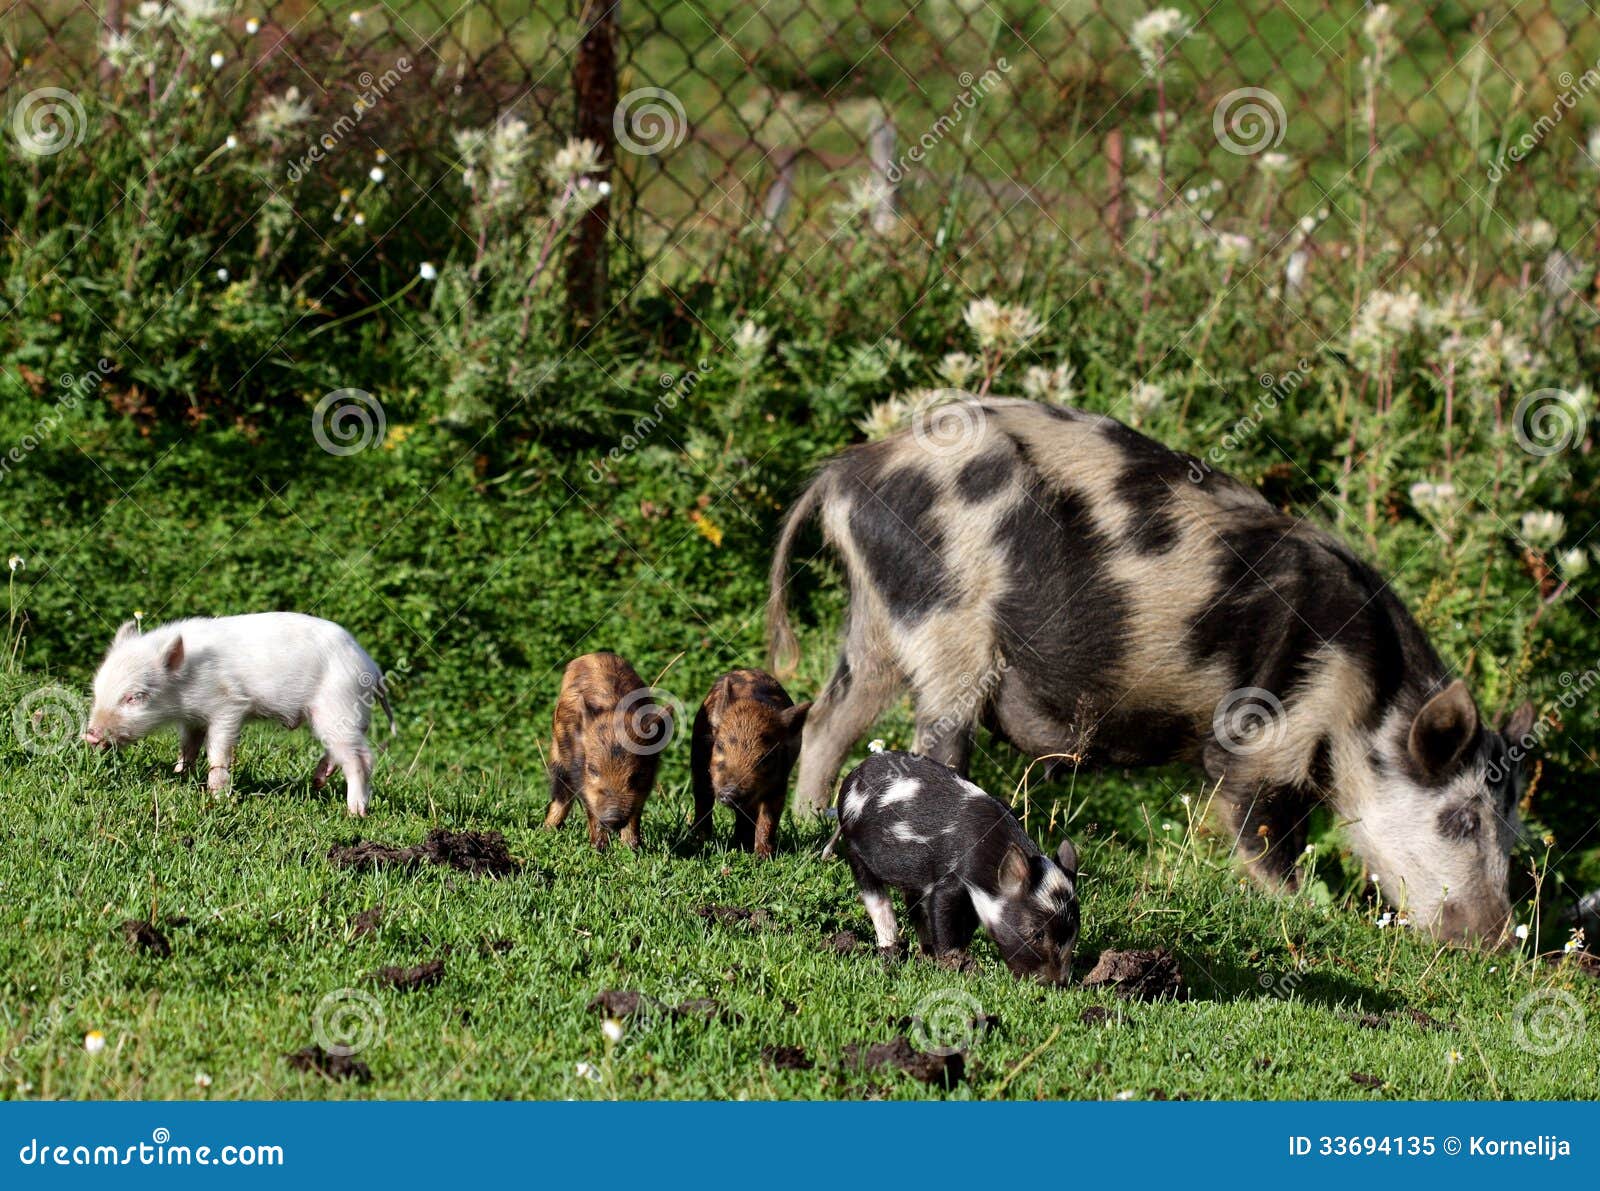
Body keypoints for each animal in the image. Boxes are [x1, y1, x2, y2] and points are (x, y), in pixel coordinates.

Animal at [84, 612, 395, 816]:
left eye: (135, 697)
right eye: (97, 690)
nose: (90, 735)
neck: (184, 684)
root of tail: (371, 667)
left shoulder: (228, 705)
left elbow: (218, 751)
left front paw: (218, 797)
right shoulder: (193, 718)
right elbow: (188, 747)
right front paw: (179, 775)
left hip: (337, 705)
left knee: (361, 758)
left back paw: (355, 812)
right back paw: (317, 783)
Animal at [544, 652, 671, 851]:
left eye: (636, 775)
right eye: (593, 769)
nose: (613, 818)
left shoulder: (646, 782)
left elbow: (635, 814)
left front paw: (633, 850)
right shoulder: (583, 779)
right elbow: (591, 810)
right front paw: (599, 850)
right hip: (558, 756)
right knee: (561, 794)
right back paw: (546, 831)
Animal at [689, 668, 810, 857]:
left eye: (767, 757)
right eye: (720, 746)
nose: (729, 792)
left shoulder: (779, 784)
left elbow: (768, 818)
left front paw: (763, 856)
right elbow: (703, 801)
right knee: (704, 801)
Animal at [767, 396, 1535, 944]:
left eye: (1509, 830)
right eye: (1461, 818)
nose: (1496, 941)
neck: (1367, 697)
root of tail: (850, 472)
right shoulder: (1266, 731)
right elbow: (1258, 831)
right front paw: (1307, 912)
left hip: (878, 617)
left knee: (829, 719)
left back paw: (812, 827)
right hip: (946, 620)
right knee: (934, 738)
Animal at [836, 749, 1079, 983]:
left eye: (1075, 932)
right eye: (1038, 934)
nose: (1058, 983)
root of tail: (854, 774)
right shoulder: (953, 879)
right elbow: (942, 909)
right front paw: (959, 966)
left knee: (915, 908)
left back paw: (926, 955)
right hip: (853, 848)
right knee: (877, 901)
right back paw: (891, 953)